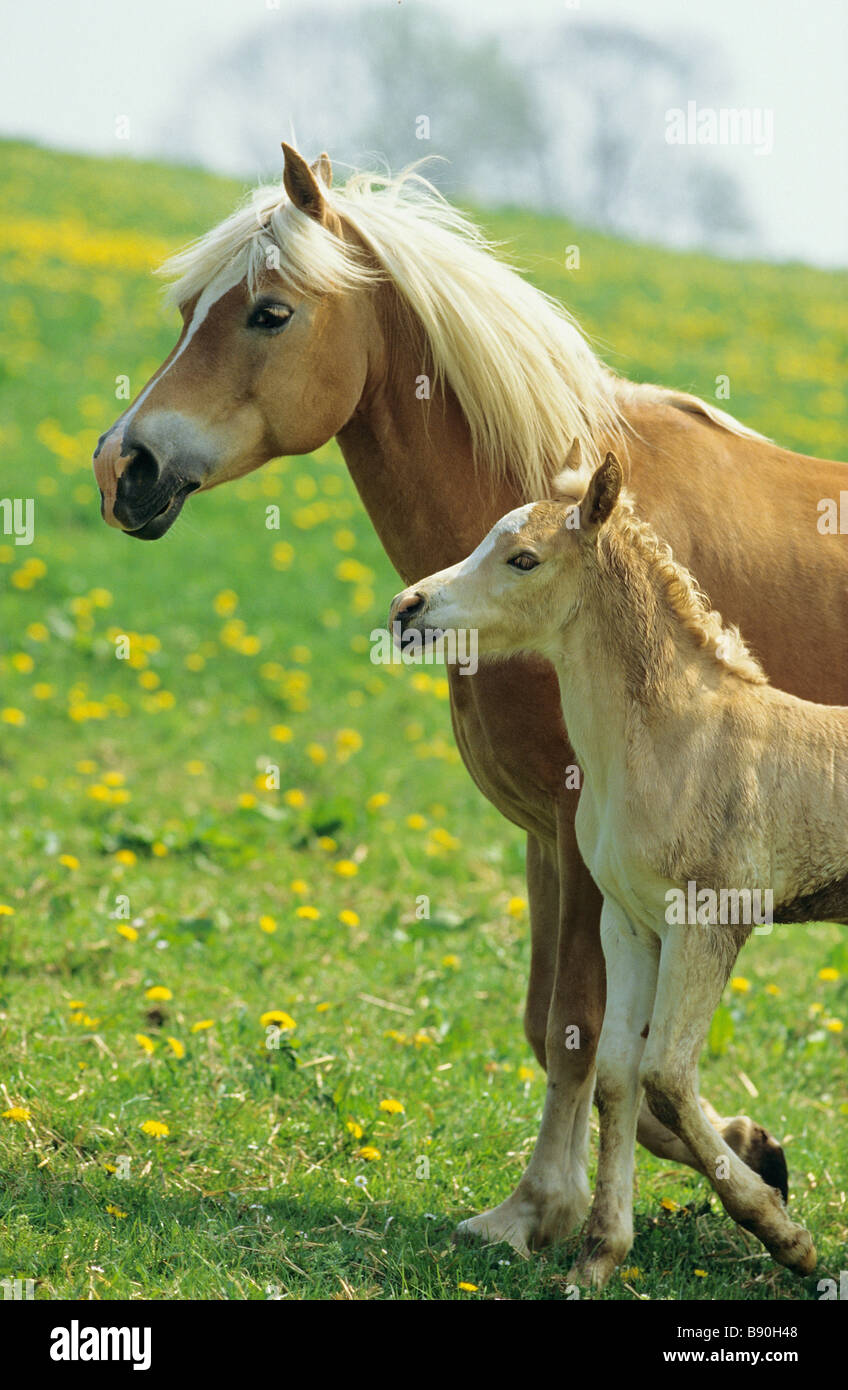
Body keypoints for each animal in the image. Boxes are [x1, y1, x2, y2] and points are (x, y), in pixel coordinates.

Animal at [390, 447, 847, 1280]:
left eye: (524, 557)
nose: (408, 608)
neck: (680, 740)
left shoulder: (710, 923)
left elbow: (665, 1076)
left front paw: (787, 1236)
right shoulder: (632, 926)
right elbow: (615, 1076)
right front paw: (598, 1255)